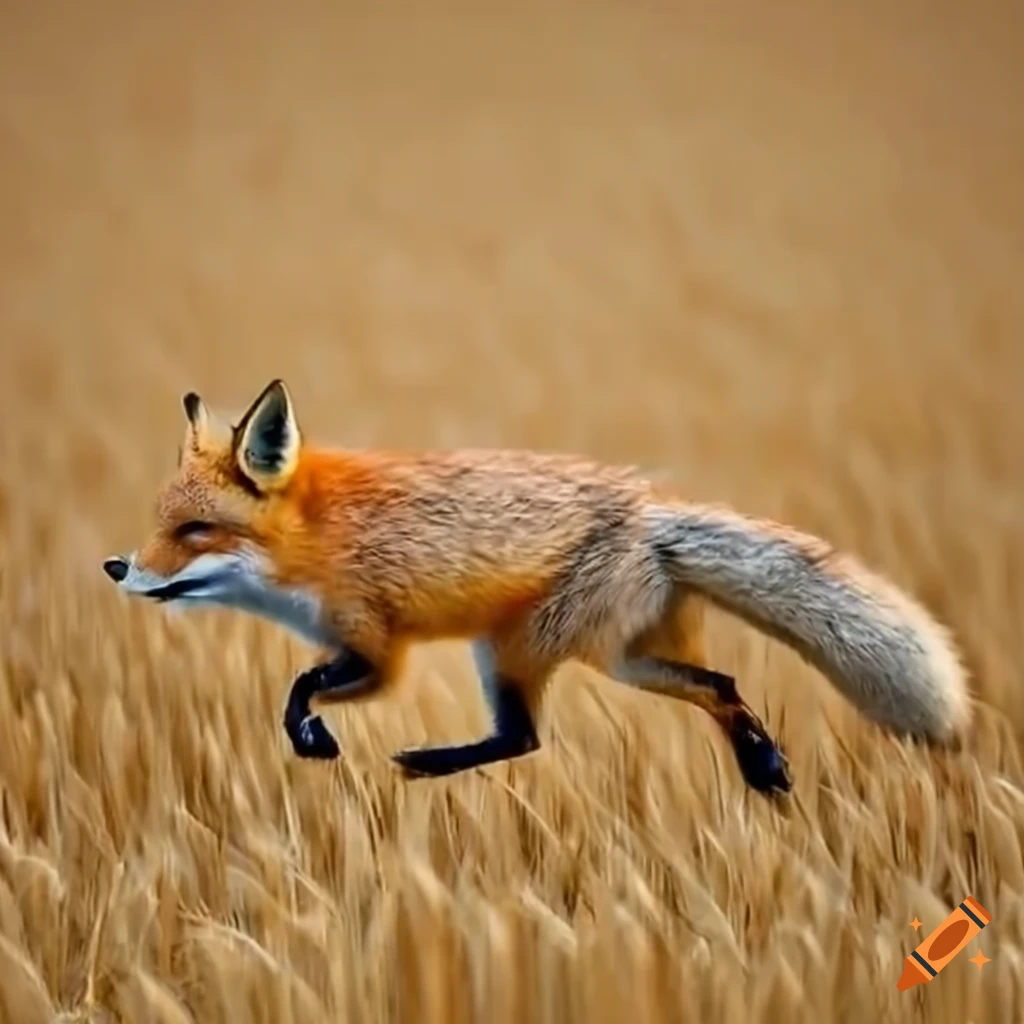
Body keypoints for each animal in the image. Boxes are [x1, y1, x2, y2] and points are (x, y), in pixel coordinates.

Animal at [103, 379, 970, 796]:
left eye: (195, 532)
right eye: (160, 523)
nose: (119, 568)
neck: (322, 538)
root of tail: (651, 510)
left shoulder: (376, 649)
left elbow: (298, 691)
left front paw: (313, 738)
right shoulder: (356, 646)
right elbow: (298, 687)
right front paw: (312, 736)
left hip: (522, 648)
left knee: (525, 738)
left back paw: (424, 764)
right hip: (614, 657)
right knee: (717, 683)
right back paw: (762, 765)